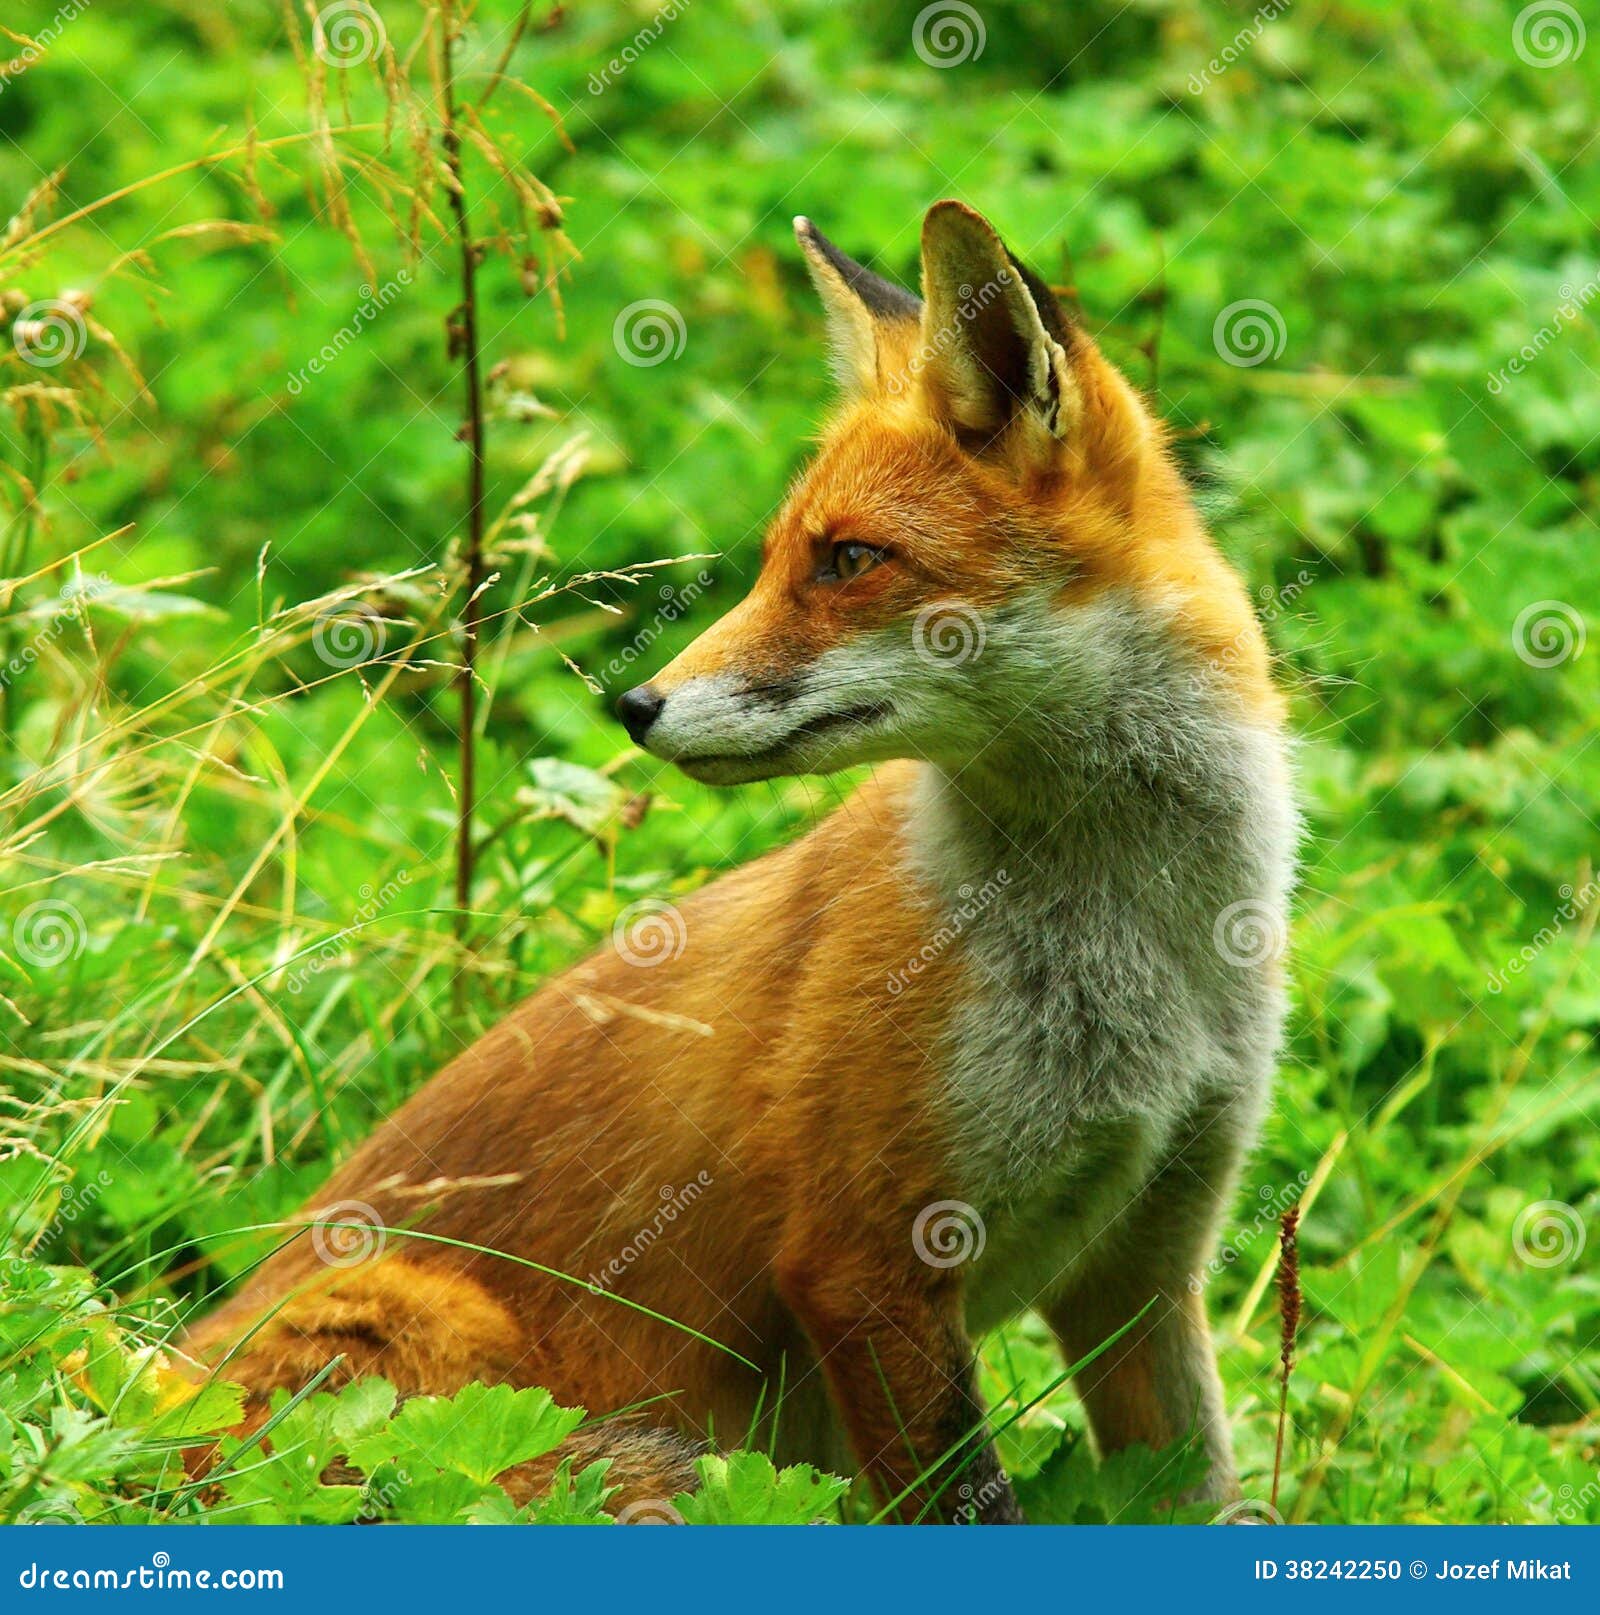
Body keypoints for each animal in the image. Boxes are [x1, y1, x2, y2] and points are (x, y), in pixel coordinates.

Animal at [185, 200, 1296, 1524]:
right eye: (778, 557)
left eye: (850, 559)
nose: (634, 706)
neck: (1137, 945)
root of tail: (142, 1390)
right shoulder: (862, 1258)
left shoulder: (1147, 1263)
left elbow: (1199, 1487)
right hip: (424, 1334)